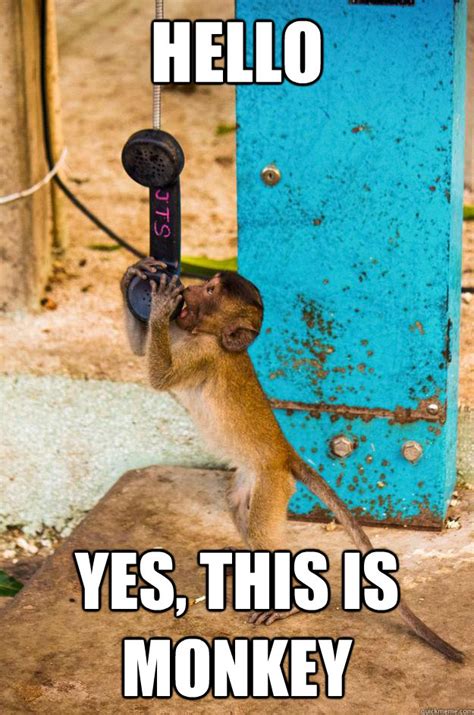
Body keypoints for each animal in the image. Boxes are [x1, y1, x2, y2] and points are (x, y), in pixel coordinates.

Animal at [121, 257, 464, 663]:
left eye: (209, 290)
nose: (188, 290)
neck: (206, 335)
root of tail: (285, 454)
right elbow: (141, 353)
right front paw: (132, 279)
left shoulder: (205, 353)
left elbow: (160, 376)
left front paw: (159, 305)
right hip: (254, 478)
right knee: (238, 508)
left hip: (272, 483)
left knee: (259, 528)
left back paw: (290, 599)